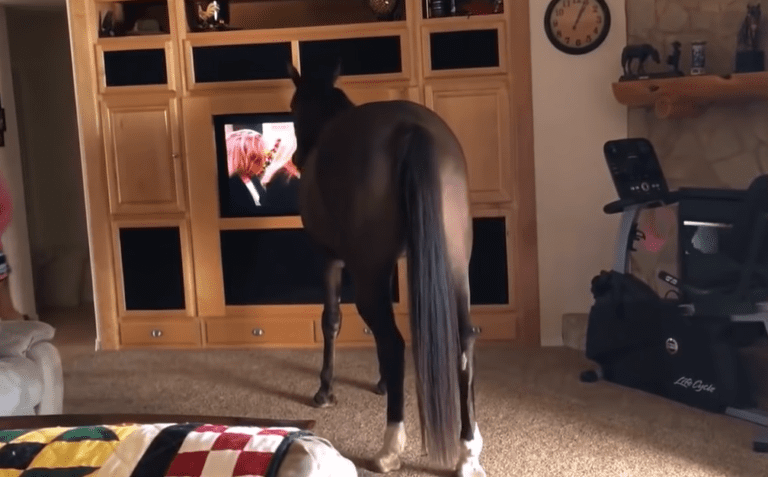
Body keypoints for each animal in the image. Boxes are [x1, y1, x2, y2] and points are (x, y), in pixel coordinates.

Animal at [287, 61, 486, 477]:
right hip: (455, 268)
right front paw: (381, 383)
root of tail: (412, 129)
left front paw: (325, 390)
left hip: (366, 276)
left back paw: (390, 447)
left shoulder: (331, 259)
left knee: (394, 341)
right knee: (464, 340)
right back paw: (468, 450)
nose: (297, 160)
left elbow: (331, 320)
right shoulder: (388, 265)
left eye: (293, 108)